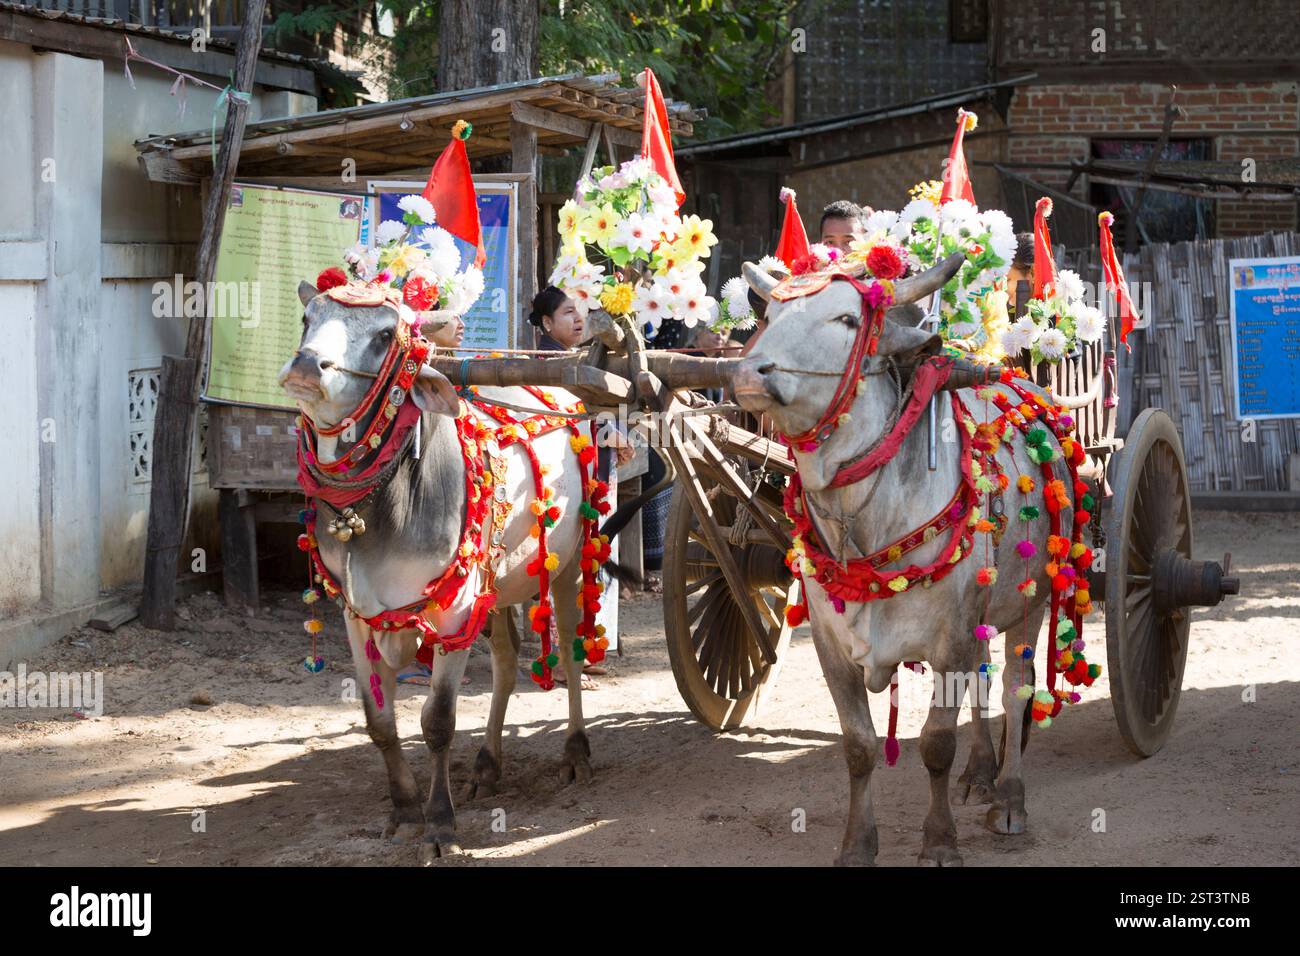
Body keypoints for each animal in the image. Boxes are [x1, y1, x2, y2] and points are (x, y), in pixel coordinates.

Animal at [279, 281, 595, 861]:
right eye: (308, 317)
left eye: (386, 334)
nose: (308, 365)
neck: (382, 503)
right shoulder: (358, 614)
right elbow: (379, 721)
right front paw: (405, 811)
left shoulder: (452, 614)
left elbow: (438, 723)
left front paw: (440, 823)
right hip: (496, 584)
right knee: (507, 659)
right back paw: (488, 766)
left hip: (565, 566)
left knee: (570, 654)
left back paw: (576, 752)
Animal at [732, 257, 1070, 866]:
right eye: (768, 315)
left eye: (847, 318)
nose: (749, 372)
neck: (865, 524)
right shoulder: (831, 642)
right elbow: (859, 748)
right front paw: (856, 845)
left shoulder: (950, 636)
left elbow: (936, 744)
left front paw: (939, 842)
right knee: (985, 680)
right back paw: (979, 775)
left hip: (1030, 600)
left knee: (1014, 686)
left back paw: (1009, 797)